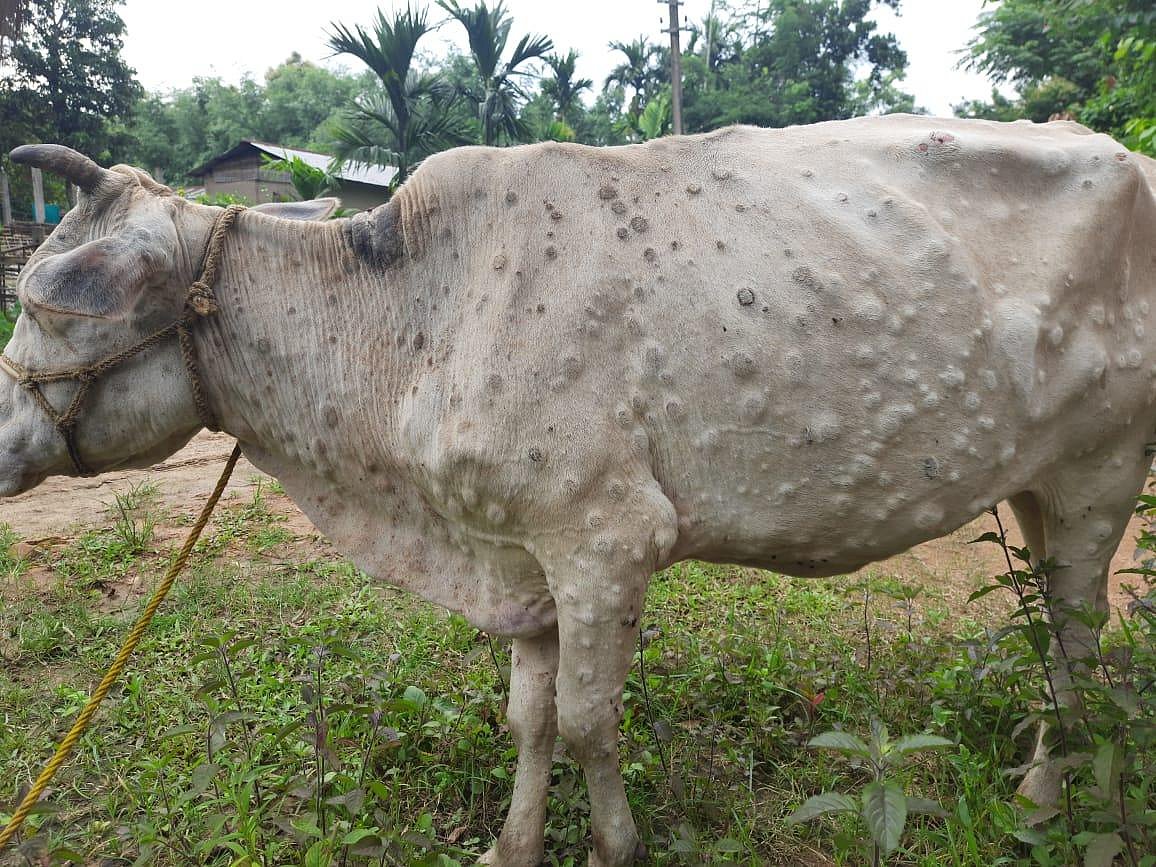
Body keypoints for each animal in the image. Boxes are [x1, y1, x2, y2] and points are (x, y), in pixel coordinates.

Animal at [2, 115, 1154, 866]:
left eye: (54, 300)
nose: (3, 441)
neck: (415, 316)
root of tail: (1130, 157)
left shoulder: (606, 543)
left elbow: (592, 719)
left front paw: (613, 844)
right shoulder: (519, 559)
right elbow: (531, 718)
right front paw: (513, 843)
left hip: (1101, 470)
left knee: (1080, 644)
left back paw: (1051, 796)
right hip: (1033, 485)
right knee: (1060, 632)